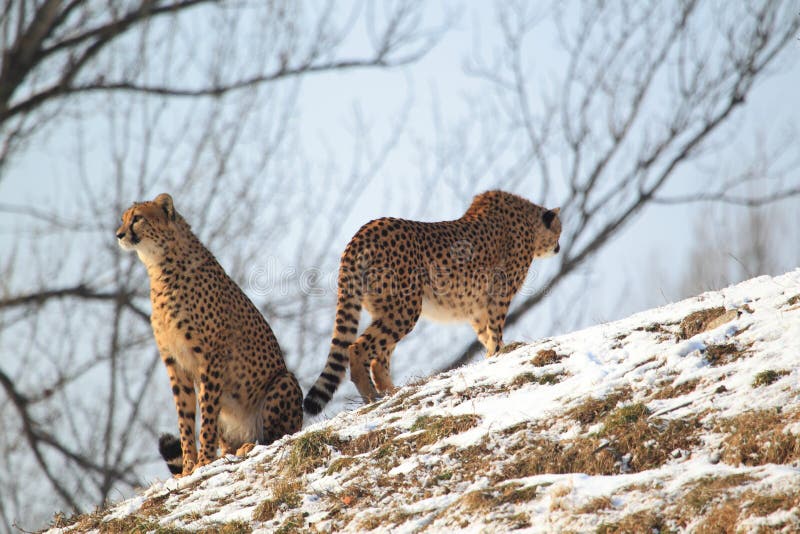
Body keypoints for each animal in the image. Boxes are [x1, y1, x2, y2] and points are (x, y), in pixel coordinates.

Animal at [116, 193, 303, 476]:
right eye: (124, 218)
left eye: (137, 218)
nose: (119, 234)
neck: (160, 269)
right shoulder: (175, 363)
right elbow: (185, 417)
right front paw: (188, 467)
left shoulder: (210, 357)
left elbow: (207, 413)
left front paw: (203, 460)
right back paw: (230, 451)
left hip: (284, 381)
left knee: (276, 437)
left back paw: (249, 446)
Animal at [303, 190, 561, 415]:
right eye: (559, 231)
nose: (558, 248)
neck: (528, 219)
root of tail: (365, 230)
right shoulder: (499, 293)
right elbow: (496, 330)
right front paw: (498, 354)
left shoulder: (477, 308)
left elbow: (486, 333)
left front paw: (492, 355)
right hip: (404, 309)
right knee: (357, 349)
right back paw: (372, 397)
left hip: (387, 308)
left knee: (378, 358)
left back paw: (391, 393)